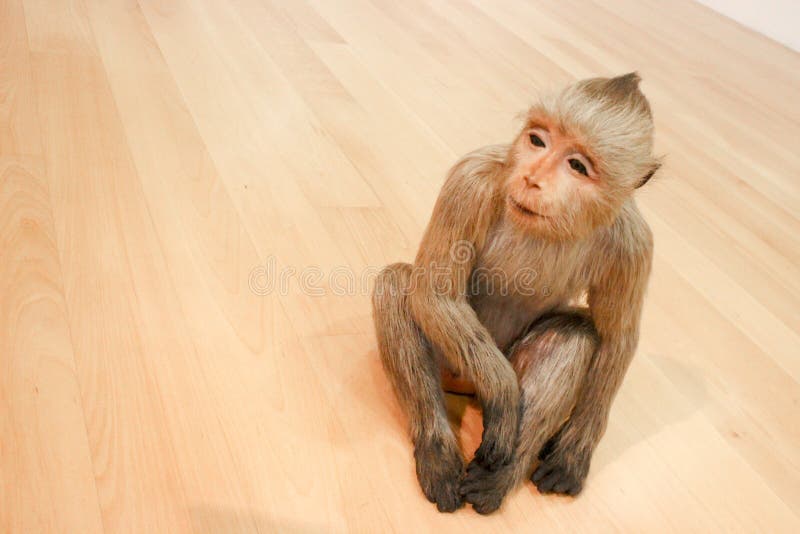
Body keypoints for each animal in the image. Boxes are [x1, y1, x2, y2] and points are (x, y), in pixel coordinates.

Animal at [372, 73, 658, 514]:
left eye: (577, 166)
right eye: (538, 140)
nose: (531, 177)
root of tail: (468, 390)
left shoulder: (633, 240)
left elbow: (616, 339)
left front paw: (575, 447)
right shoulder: (471, 180)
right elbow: (436, 293)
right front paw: (504, 397)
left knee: (575, 333)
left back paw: (502, 474)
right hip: (456, 366)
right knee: (398, 284)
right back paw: (438, 448)